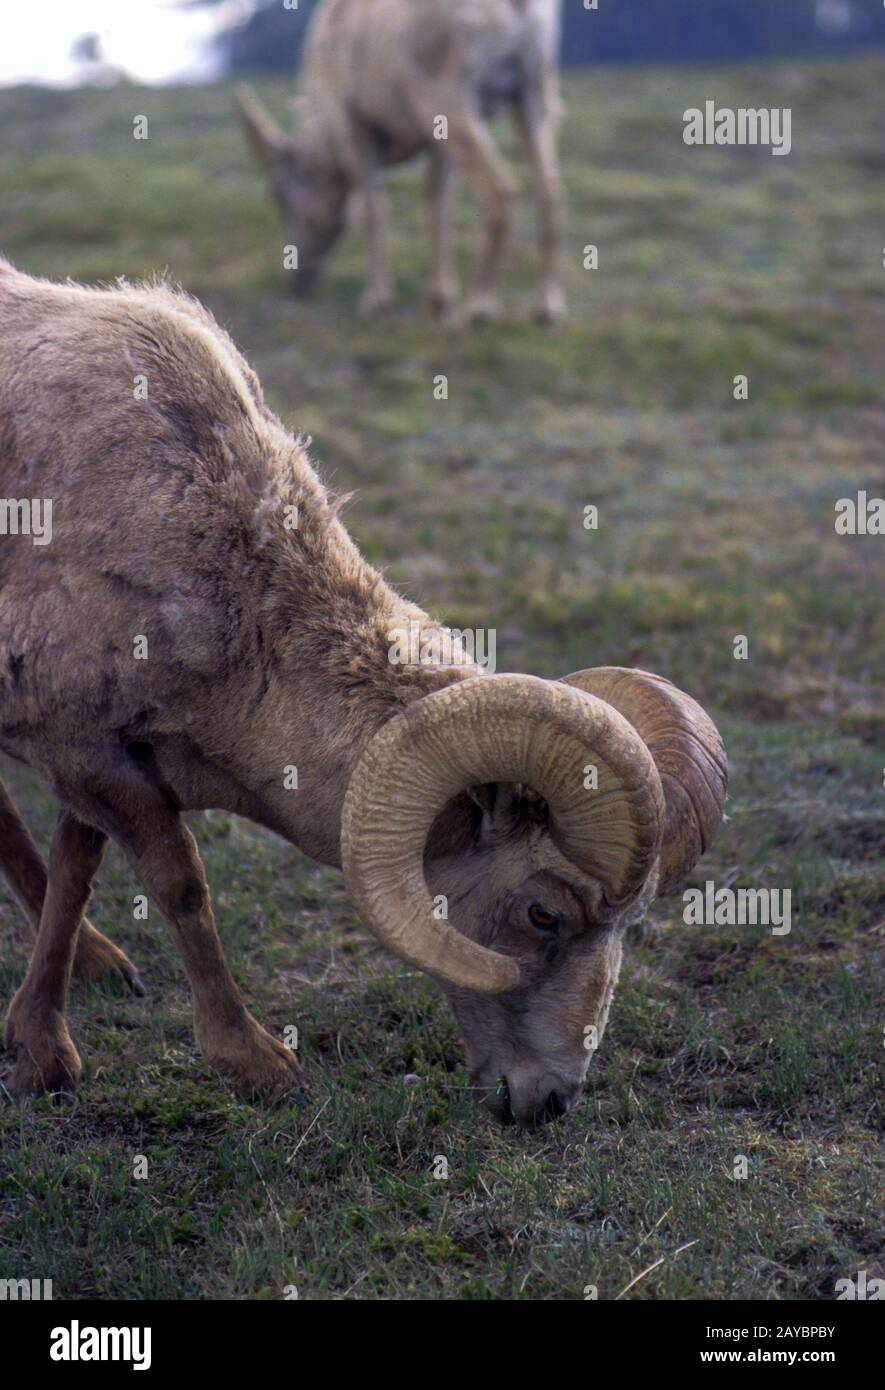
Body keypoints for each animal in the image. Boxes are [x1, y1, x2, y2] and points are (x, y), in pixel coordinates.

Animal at [0, 259, 727, 1125]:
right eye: (542, 913)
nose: (549, 1099)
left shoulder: (106, 760)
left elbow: (74, 874)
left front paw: (45, 1031)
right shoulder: (85, 752)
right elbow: (179, 888)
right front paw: (248, 1063)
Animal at [236, 0, 566, 324]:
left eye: (278, 195)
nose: (298, 280)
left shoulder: (354, 128)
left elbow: (374, 209)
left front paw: (376, 302)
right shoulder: (437, 141)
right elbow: (437, 203)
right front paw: (438, 299)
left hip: (451, 100)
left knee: (499, 191)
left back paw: (479, 307)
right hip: (533, 93)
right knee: (548, 190)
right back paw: (546, 307)